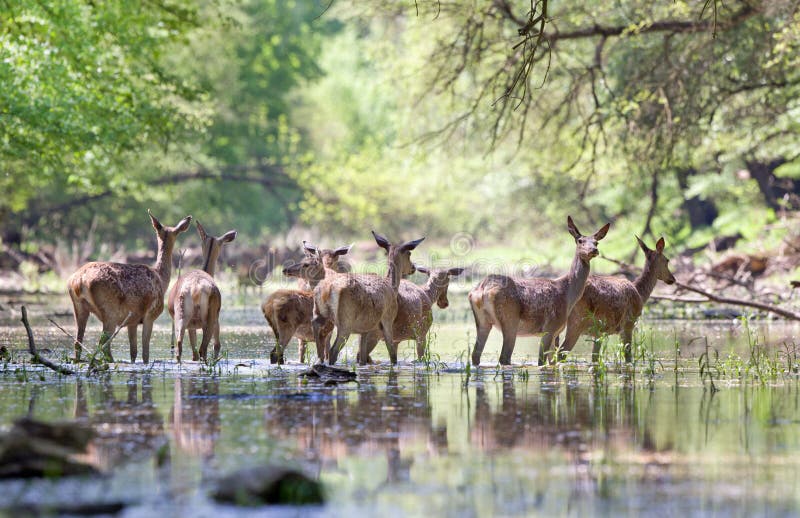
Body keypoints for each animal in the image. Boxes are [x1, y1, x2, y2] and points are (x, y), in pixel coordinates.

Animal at [67, 211, 192, 364]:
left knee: (77, 343)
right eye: (176, 233)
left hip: (79, 307)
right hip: (110, 311)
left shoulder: (132, 321)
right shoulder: (151, 314)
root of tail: (79, 280)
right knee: (103, 344)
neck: (162, 280)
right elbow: (145, 353)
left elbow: (134, 352)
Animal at [167, 221, 237, 362]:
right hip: (210, 315)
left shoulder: (192, 325)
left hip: (181, 314)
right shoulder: (216, 319)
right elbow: (216, 345)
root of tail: (195, 289)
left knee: (180, 346)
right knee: (203, 349)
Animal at [312, 231, 425, 365]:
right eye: (409, 253)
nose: (413, 267)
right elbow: (392, 354)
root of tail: (326, 289)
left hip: (319, 312)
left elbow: (362, 358)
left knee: (316, 330)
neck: (392, 288)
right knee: (334, 350)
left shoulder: (365, 328)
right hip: (345, 321)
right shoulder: (388, 319)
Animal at [469, 216, 610, 366]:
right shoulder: (550, 327)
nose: (593, 250)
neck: (567, 294)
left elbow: (552, 362)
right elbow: (541, 361)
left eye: (596, 242)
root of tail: (482, 290)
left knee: (475, 355)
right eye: (580, 241)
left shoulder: (556, 332)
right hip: (510, 318)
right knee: (504, 357)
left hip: (483, 322)